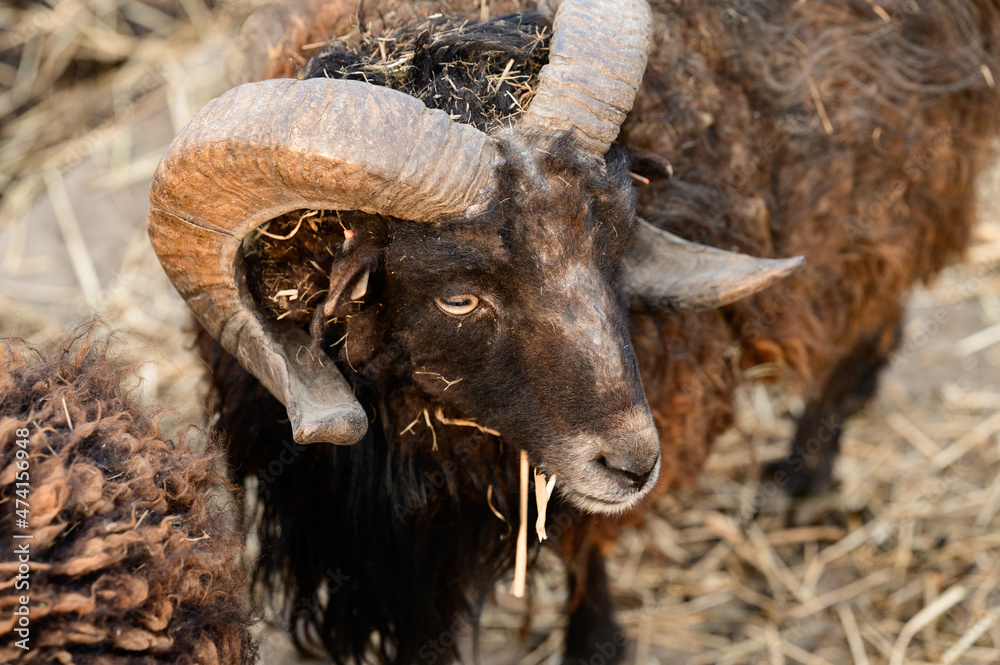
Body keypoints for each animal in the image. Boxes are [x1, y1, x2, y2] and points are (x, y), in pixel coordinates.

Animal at [147, 0, 1000, 663]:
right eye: (459, 298)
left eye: (615, 236)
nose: (634, 462)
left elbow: (593, 560)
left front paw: (598, 643)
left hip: (895, 184)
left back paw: (799, 480)